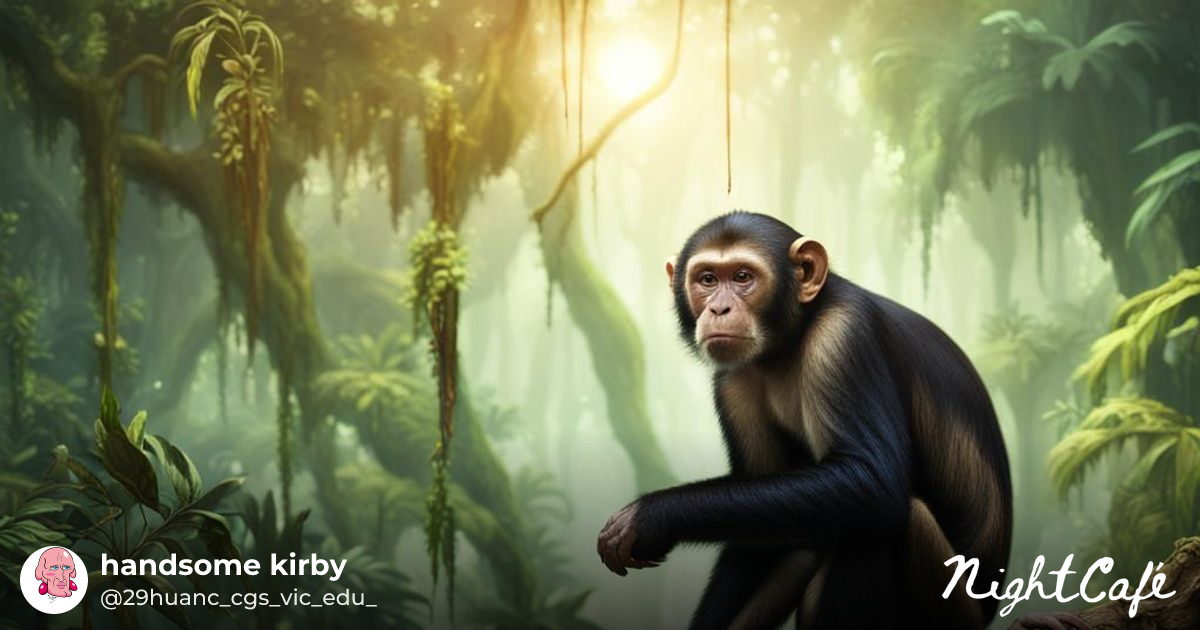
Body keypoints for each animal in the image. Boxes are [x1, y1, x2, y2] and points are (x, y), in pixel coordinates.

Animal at [596, 211, 1015, 629]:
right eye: (708, 279)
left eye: (743, 277)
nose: (718, 310)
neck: (792, 335)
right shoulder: (735, 383)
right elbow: (755, 530)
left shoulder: (843, 337)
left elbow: (871, 477)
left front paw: (654, 515)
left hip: (950, 612)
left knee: (883, 520)